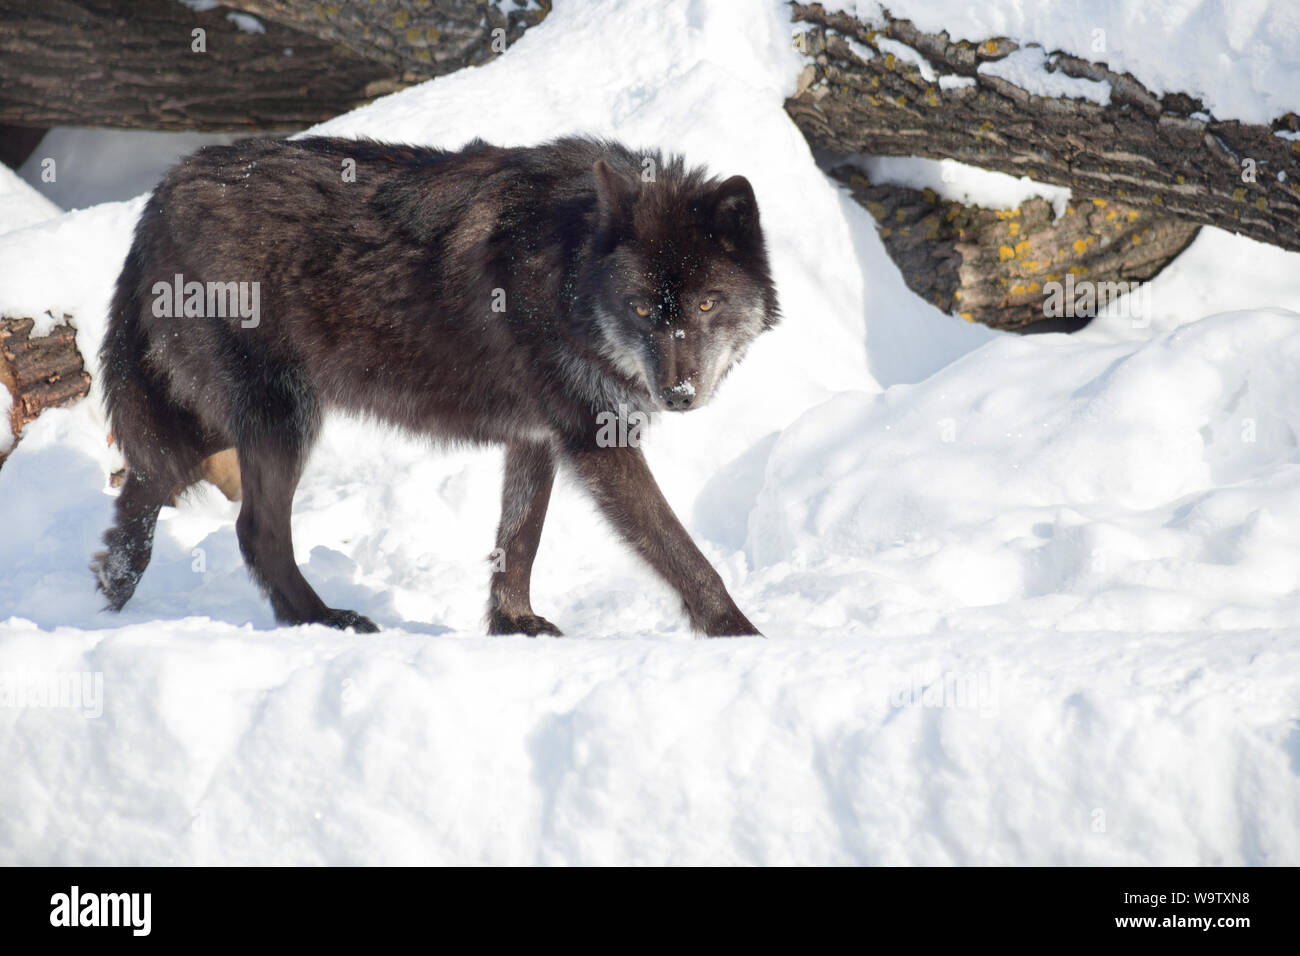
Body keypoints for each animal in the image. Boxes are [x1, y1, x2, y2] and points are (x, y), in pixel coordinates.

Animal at [93, 135, 778, 636]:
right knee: (253, 530)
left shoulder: (539, 436)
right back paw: (322, 619)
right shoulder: (595, 438)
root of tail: (164, 192)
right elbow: (681, 551)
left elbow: (518, 540)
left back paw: (113, 590)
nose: (677, 395)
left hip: (207, 422)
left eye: (708, 303)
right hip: (279, 417)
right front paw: (740, 635)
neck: (567, 268)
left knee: (144, 483)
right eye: (639, 309)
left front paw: (513, 624)